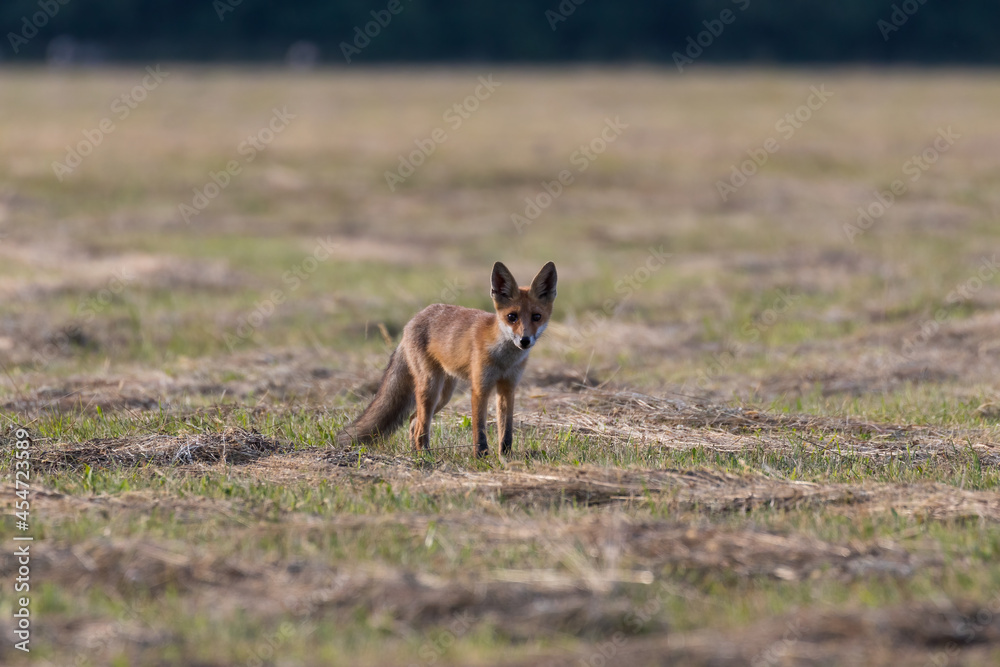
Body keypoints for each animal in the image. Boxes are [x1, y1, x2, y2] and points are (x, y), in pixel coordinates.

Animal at [337, 261, 557, 457]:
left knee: (413, 420)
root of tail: (413, 320)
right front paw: (481, 457)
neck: (503, 359)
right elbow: (479, 430)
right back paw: (425, 456)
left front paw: (506, 457)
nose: (525, 340)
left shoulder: (508, 388)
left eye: (536, 317)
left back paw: (415, 454)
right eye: (512, 317)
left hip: (444, 394)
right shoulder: (480, 388)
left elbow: (506, 430)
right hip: (431, 388)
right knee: (420, 426)